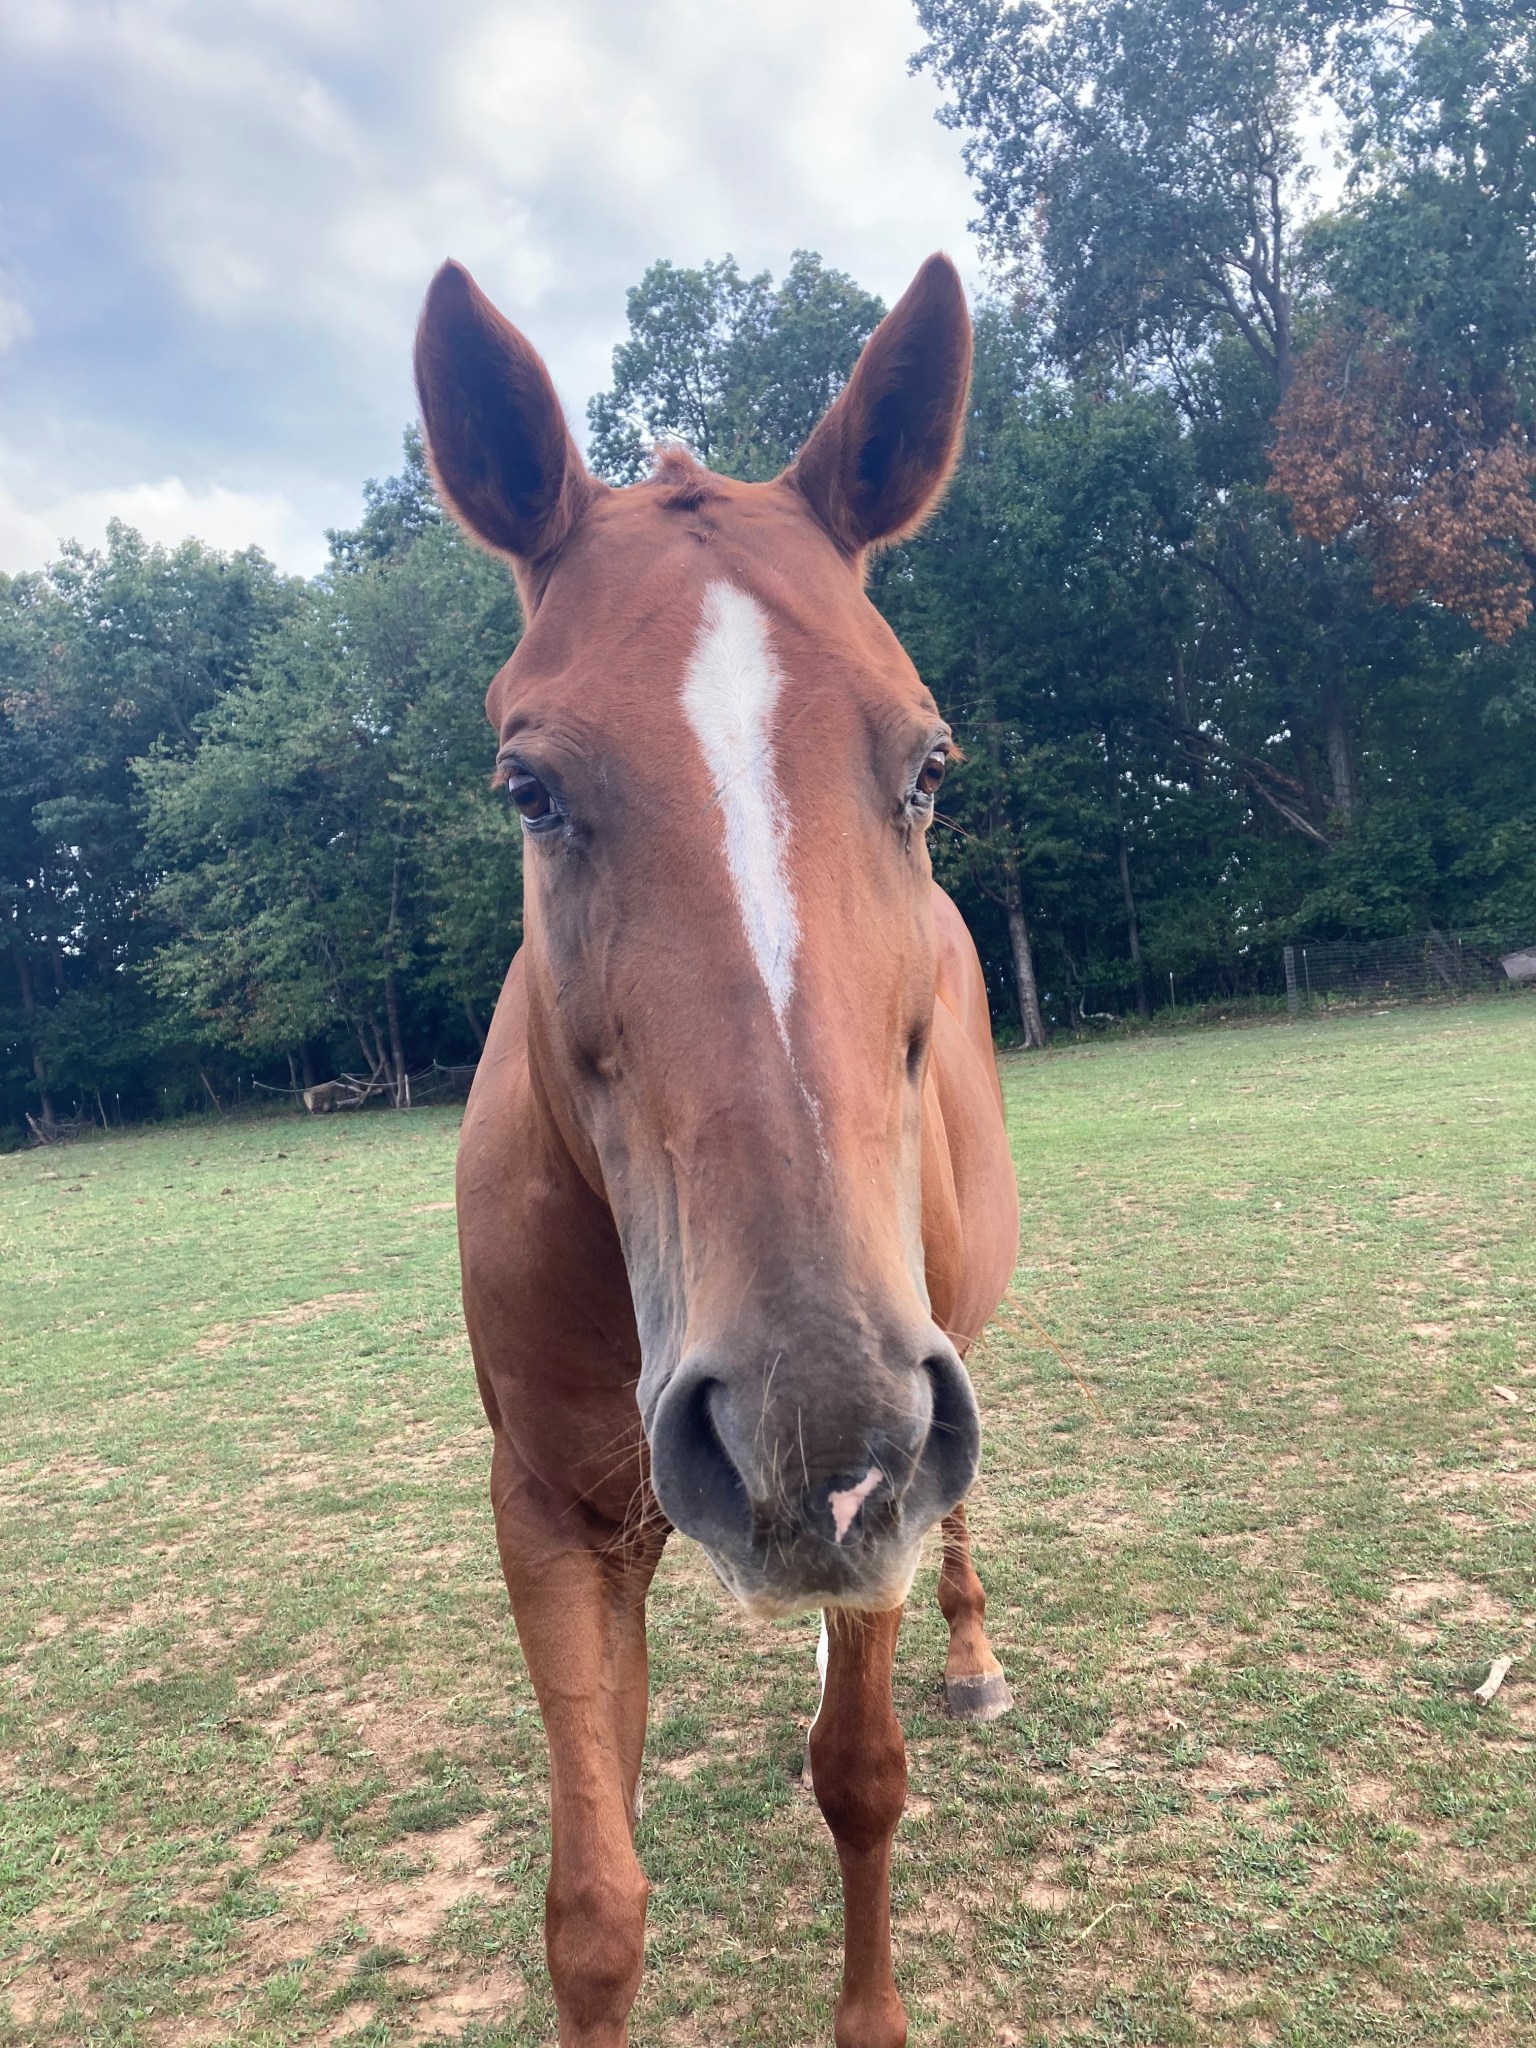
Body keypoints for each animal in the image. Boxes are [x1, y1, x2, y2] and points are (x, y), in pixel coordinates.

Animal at [413, 250, 1019, 2048]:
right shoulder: (551, 1517)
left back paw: (966, 1652)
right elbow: (595, 1903)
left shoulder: (900, 1449)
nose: (810, 1427)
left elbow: (863, 1781)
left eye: (928, 765)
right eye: (528, 785)